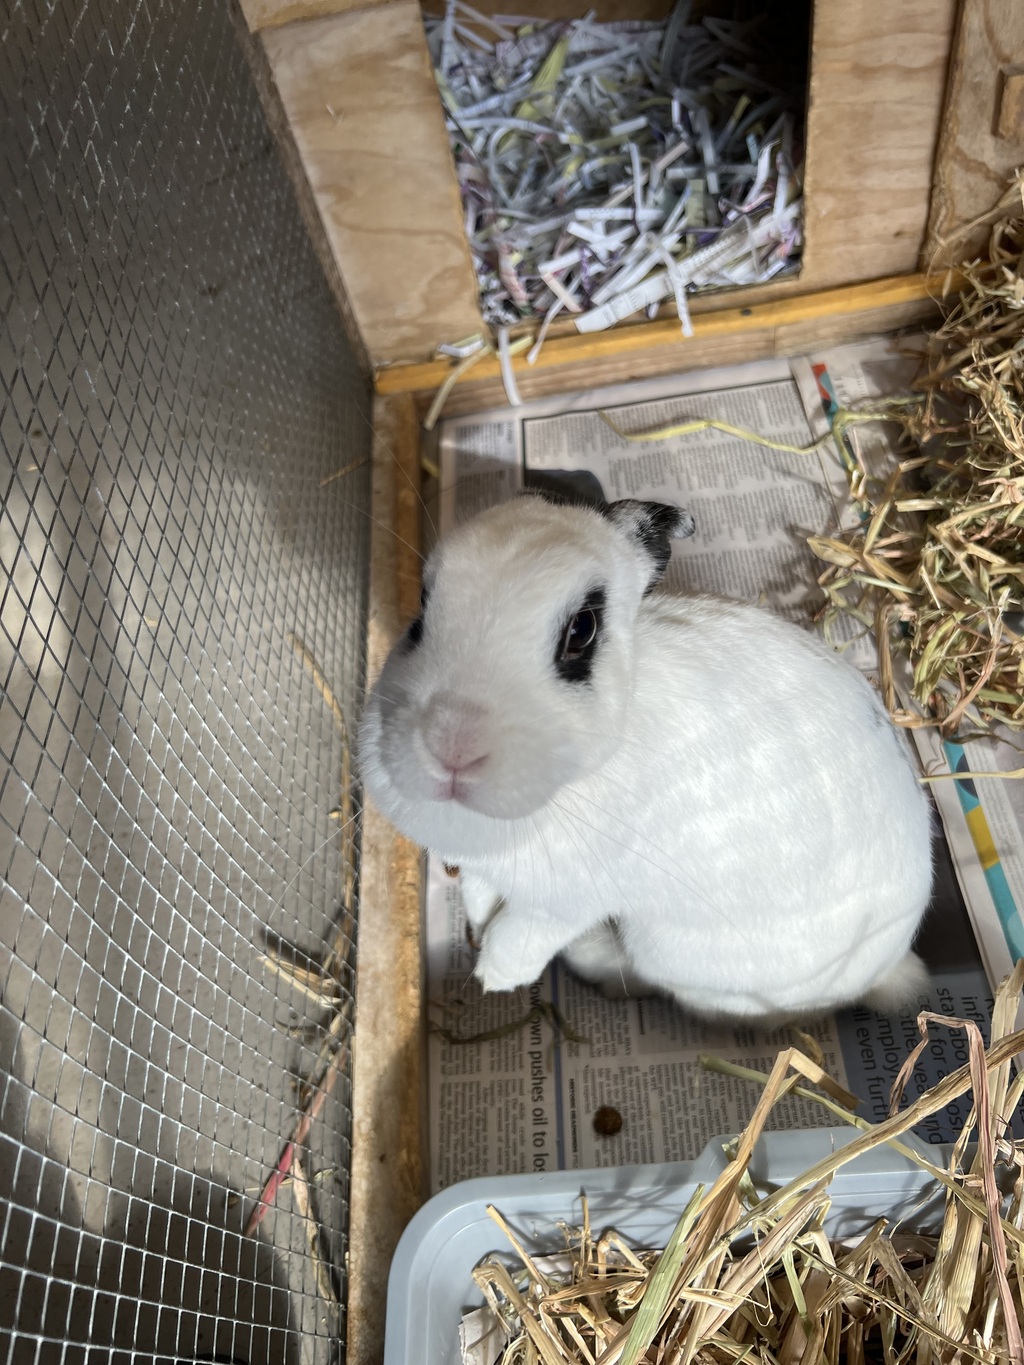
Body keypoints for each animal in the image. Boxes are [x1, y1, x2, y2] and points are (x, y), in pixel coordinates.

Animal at [358, 493, 933, 1020]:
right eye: (421, 609)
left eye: (582, 631)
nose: (450, 746)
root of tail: (889, 965)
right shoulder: (488, 870)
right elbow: (482, 893)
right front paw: (477, 928)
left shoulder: (570, 899)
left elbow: (523, 932)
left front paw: (496, 977)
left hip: (676, 953)